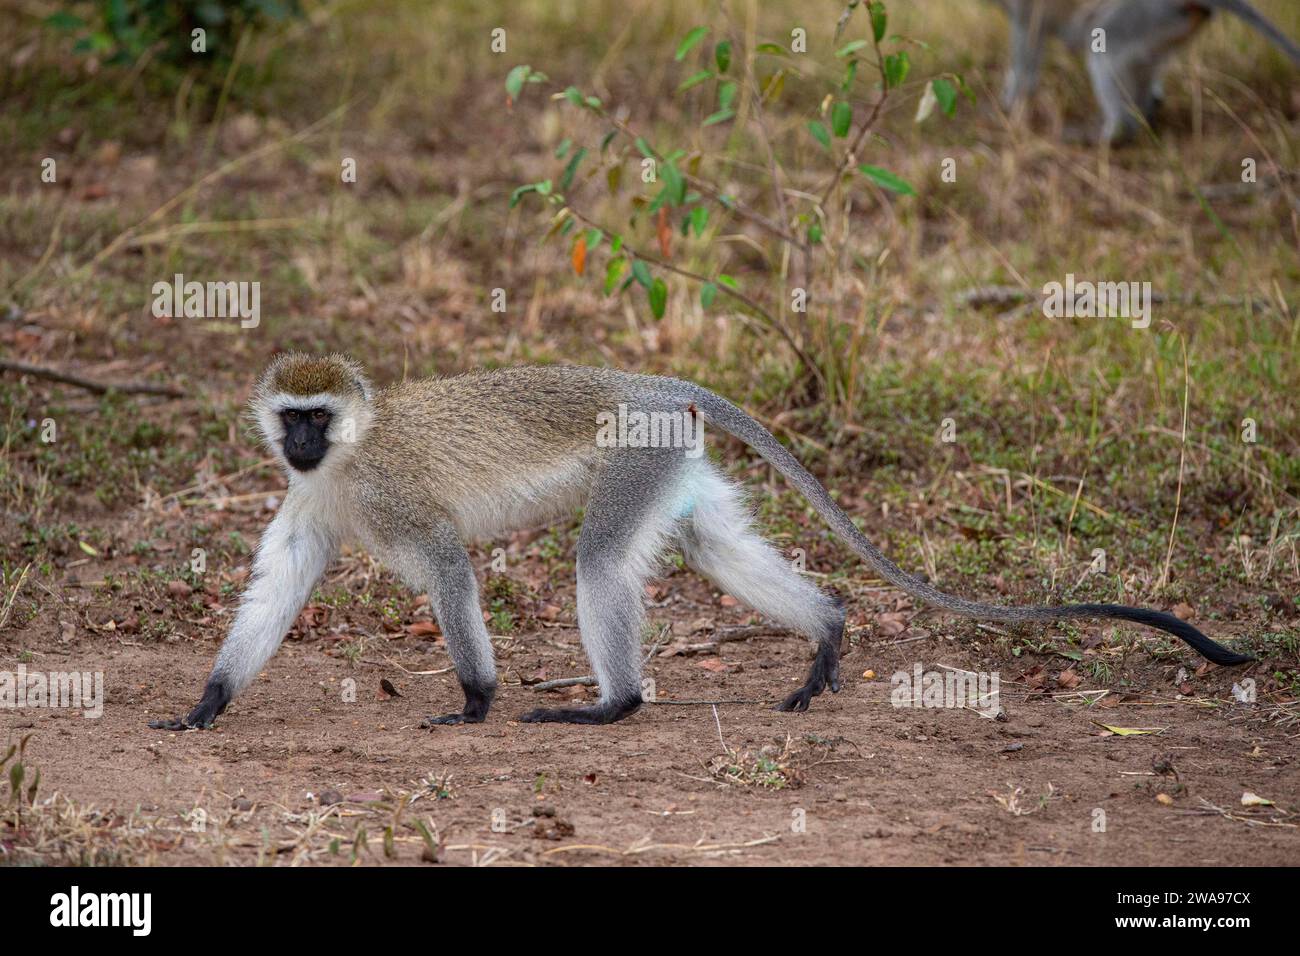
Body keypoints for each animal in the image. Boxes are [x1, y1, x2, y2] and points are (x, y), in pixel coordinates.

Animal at [149, 353, 1251, 731]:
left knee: (600, 561)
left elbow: (452, 568)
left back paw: (615, 704)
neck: (345, 459)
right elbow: (280, 585)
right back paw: (825, 636)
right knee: (713, 548)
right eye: (289, 417)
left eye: (317, 416)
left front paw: (473, 700)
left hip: (638, 450)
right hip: (671, 459)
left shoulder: (391, 497)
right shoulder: (309, 505)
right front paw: (207, 703)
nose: (296, 444)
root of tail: (651, 380)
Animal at [996, 0, 1300, 142]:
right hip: (1163, 26)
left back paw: (1109, 136)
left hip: (1139, 14)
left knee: (1107, 55)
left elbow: (1027, 45)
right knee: (1142, 67)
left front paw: (1010, 104)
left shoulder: (1027, 13)